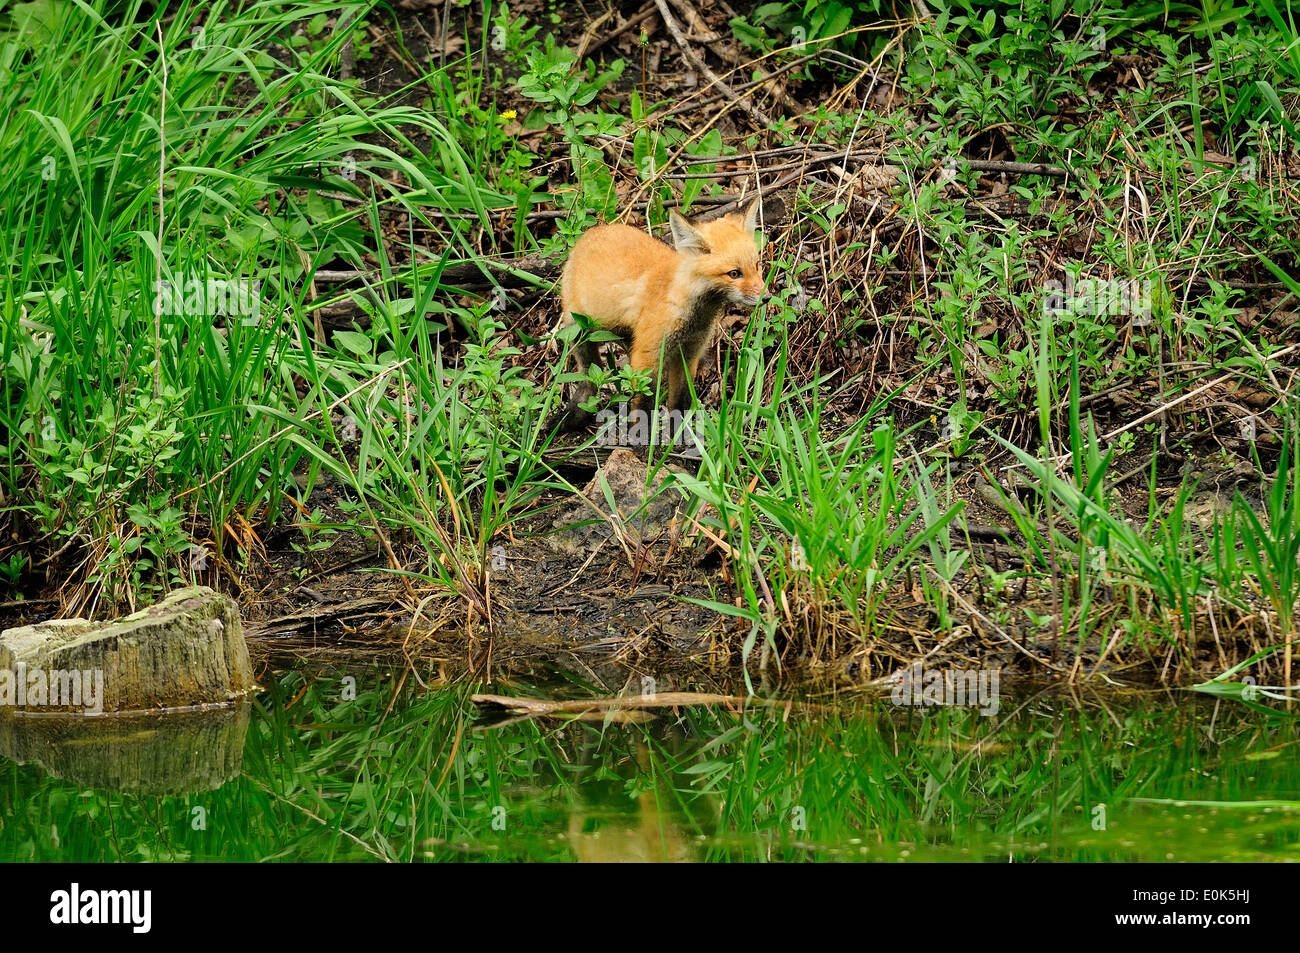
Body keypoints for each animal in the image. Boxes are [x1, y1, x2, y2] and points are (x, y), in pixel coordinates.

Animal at [552, 199, 768, 437]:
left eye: (757, 265)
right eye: (734, 273)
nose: (767, 297)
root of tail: (593, 231)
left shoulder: (689, 352)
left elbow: (680, 400)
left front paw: (680, 434)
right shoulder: (648, 355)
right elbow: (643, 402)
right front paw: (640, 439)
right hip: (579, 330)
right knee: (587, 376)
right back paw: (574, 414)